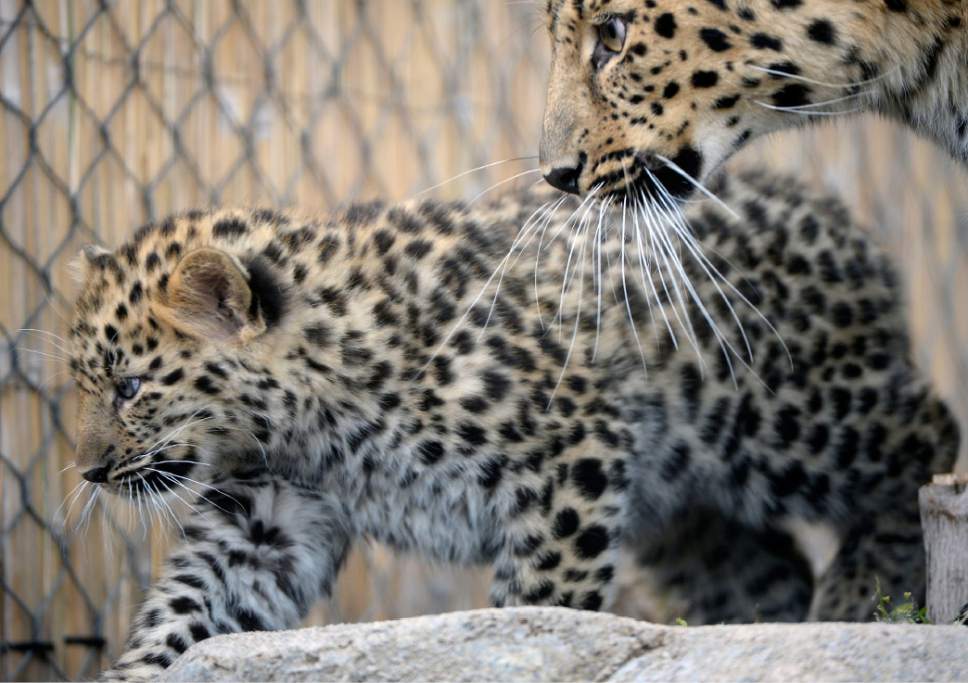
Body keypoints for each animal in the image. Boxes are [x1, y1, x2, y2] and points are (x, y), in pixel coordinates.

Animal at [68, 171, 957, 680]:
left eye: (130, 386)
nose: (88, 470)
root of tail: (840, 215)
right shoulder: (268, 519)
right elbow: (189, 605)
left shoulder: (573, 455)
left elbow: (541, 597)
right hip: (687, 507)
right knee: (764, 572)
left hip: (782, 416)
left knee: (929, 431)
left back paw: (867, 592)